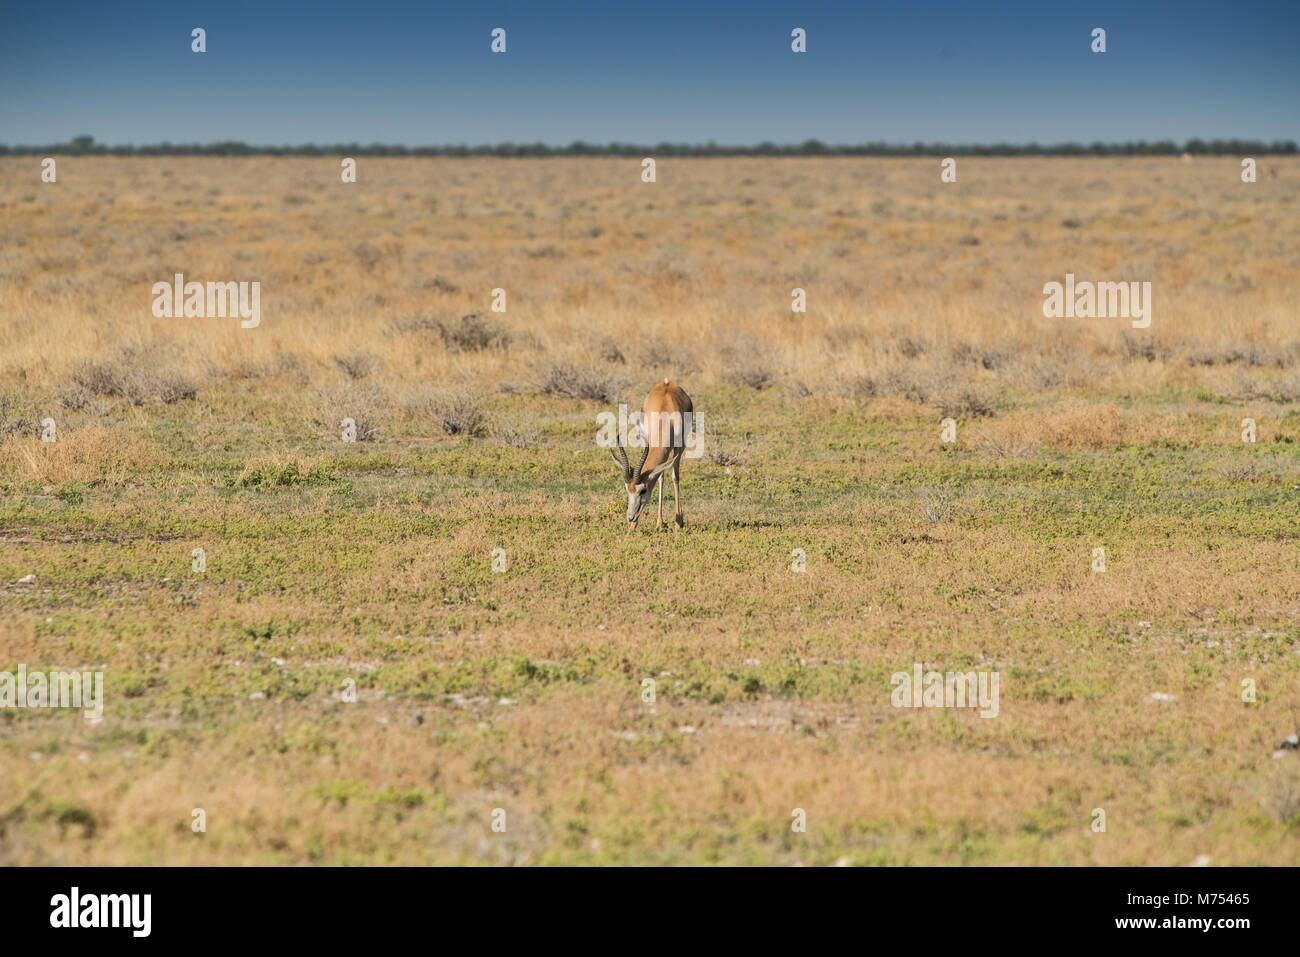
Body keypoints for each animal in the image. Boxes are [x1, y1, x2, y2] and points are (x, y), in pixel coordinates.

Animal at [609, 379, 694, 531]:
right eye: (627, 489)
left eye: (643, 490)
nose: (630, 517)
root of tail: (667, 383)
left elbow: (675, 477)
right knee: (661, 476)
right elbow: (658, 475)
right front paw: (634, 527)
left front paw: (678, 523)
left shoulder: (679, 447)